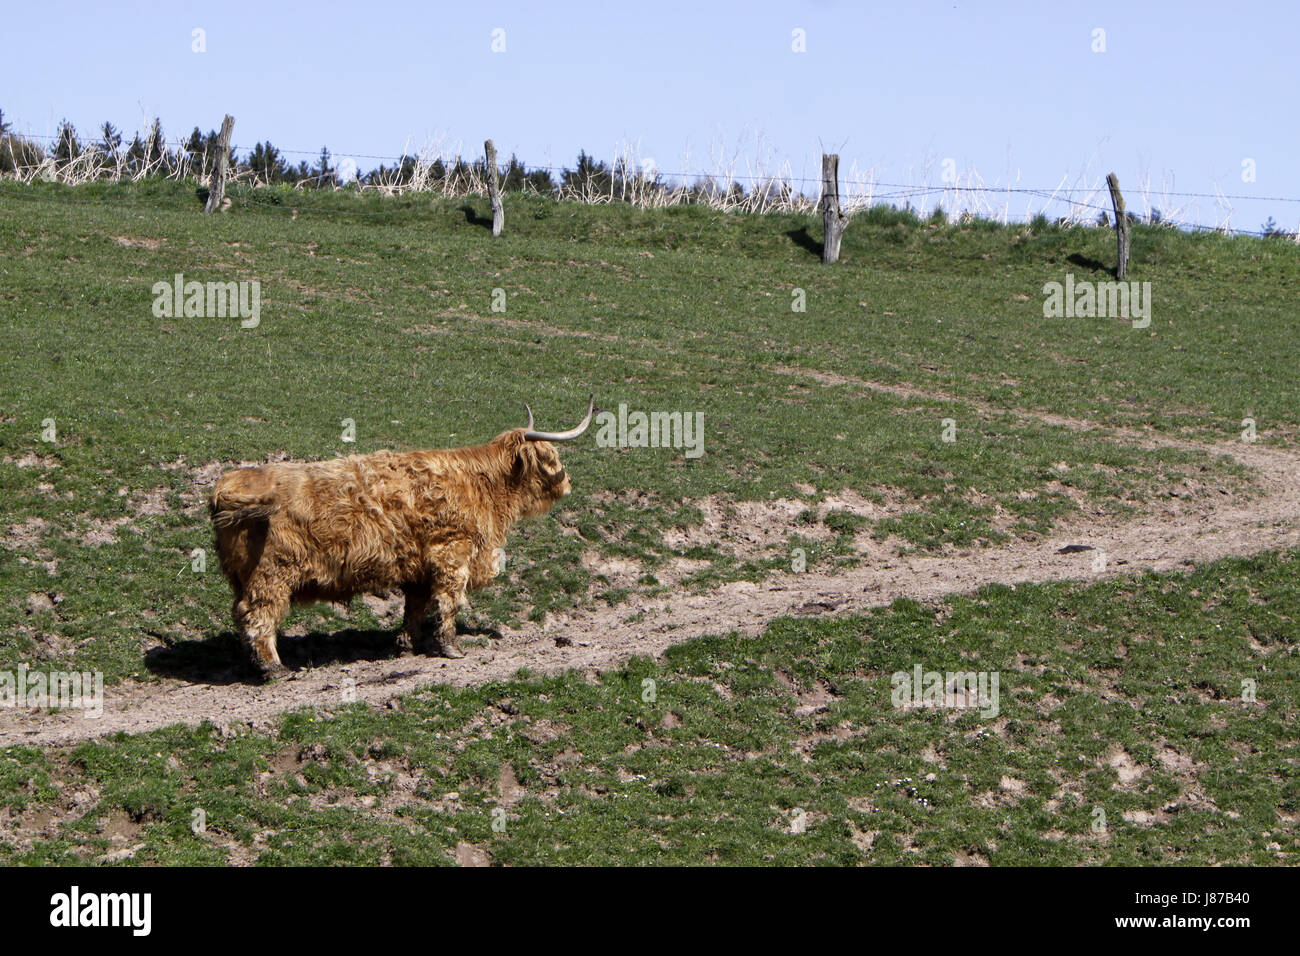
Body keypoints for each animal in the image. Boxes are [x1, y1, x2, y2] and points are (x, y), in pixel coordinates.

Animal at [208, 397, 594, 680]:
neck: (483, 487)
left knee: (240, 614)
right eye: (550, 458)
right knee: (257, 615)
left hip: (242, 575)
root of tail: (226, 487)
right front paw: (450, 647)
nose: (568, 483)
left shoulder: (420, 568)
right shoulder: (453, 551)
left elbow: (416, 607)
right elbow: (449, 601)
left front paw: (406, 645)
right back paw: (275, 668)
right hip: (273, 572)